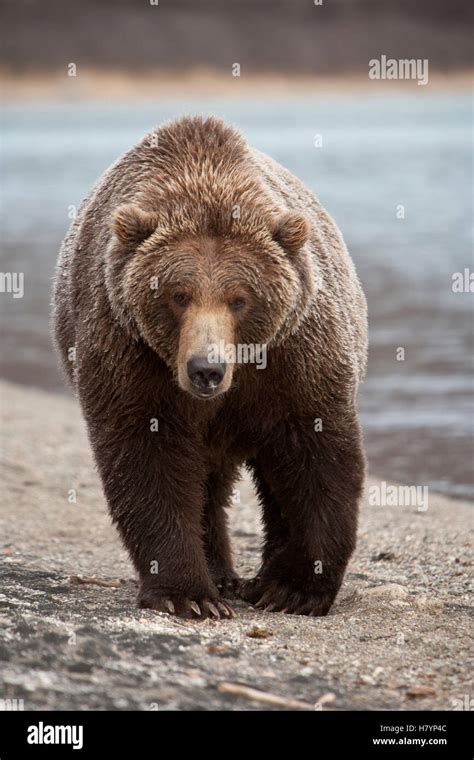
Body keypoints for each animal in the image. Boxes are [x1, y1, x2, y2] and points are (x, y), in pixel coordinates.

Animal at [53, 116, 368, 620]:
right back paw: (220, 576)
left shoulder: (294, 356)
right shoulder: (130, 352)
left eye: (240, 298)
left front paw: (295, 589)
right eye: (178, 294)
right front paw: (189, 594)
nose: (206, 369)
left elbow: (314, 457)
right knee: (207, 484)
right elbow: (148, 459)